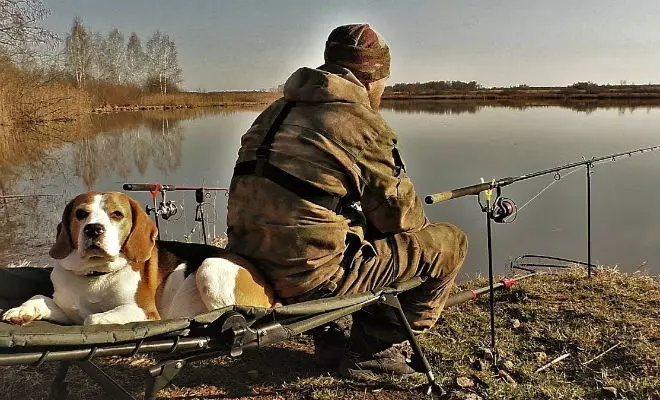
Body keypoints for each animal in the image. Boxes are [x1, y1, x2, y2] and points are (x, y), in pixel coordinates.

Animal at [1, 191, 274, 324]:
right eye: (80, 214)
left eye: (117, 214)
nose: (93, 229)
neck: (95, 275)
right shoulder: (68, 311)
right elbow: (39, 298)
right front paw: (21, 311)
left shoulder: (144, 313)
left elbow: (91, 319)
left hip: (211, 267)